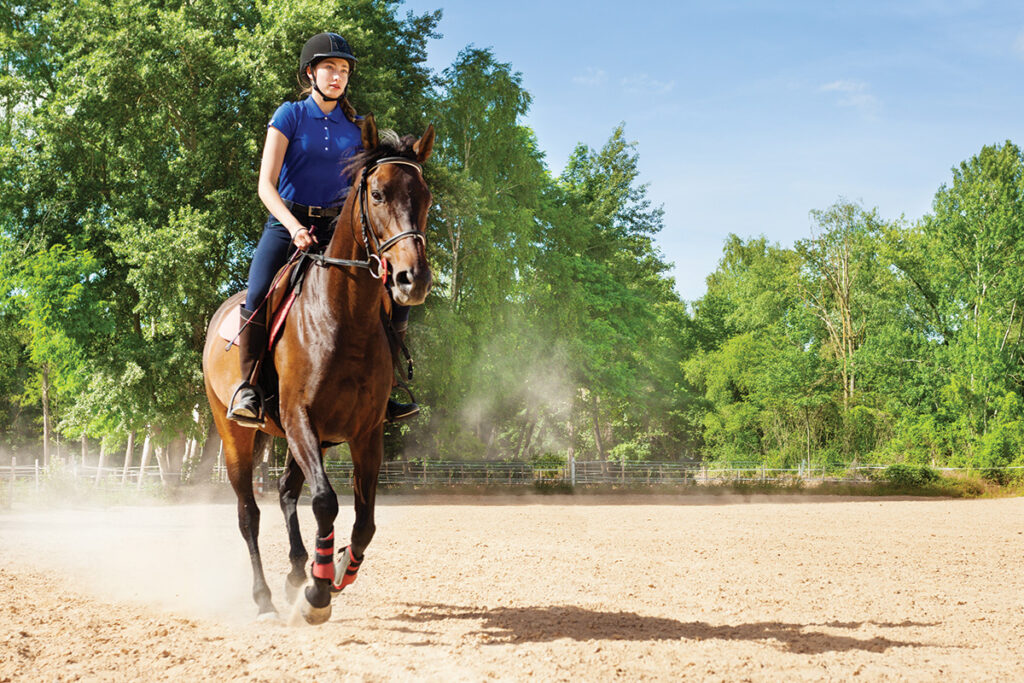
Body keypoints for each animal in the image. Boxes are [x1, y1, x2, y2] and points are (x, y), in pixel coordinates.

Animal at [202, 115, 434, 623]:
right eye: (378, 194)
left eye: (425, 196)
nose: (413, 279)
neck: (344, 317)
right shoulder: (299, 418)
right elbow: (326, 501)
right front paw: (318, 593)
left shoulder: (366, 432)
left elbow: (365, 521)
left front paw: (337, 568)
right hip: (237, 436)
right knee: (249, 513)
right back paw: (266, 598)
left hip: (302, 439)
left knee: (287, 492)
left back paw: (296, 572)